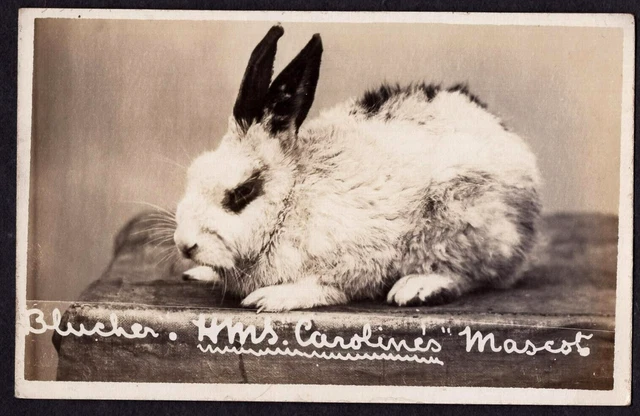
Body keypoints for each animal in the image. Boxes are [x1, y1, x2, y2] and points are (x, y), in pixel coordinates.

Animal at [174, 25, 541, 312]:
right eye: (193, 173)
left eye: (243, 192)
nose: (185, 245)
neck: (290, 203)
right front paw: (203, 272)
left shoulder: (358, 260)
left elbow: (329, 287)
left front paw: (274, 297)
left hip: (463, 219)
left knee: (472, 274)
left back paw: (417, 287)